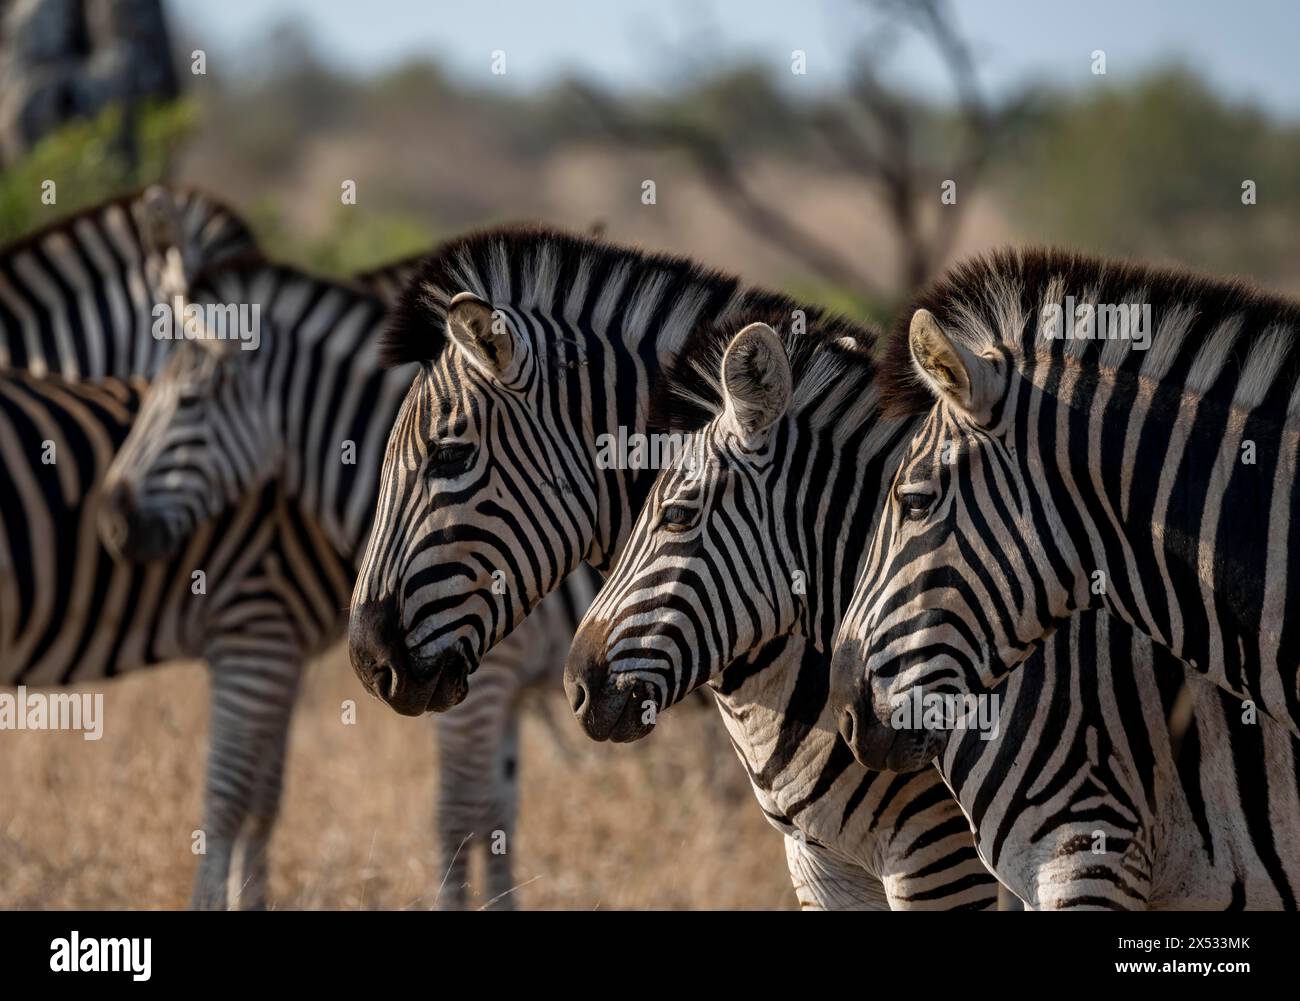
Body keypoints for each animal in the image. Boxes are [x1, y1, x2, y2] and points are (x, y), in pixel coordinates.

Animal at [0, 194, 583, 909]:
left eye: (187, 398)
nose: (112, 522)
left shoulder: (269, 639)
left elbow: (264, 802)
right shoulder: (274, 642)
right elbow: (254, 801)